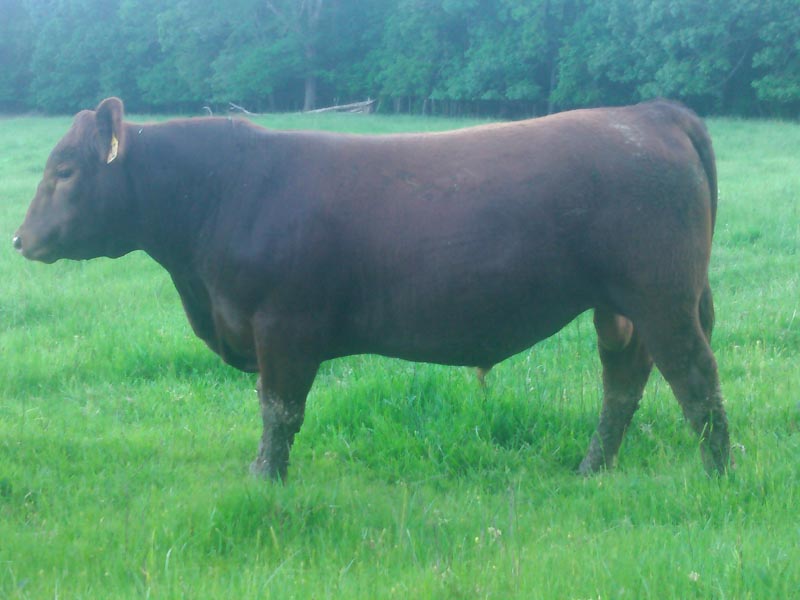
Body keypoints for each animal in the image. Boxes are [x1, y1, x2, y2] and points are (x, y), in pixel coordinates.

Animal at [13, 97, 730, 480]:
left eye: (66, 169)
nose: (20, 240)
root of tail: (646, 113)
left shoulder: (284, 326)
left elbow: (279, 411)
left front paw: (265, 478)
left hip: (662, 297)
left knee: (695, 381)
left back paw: (718, 475)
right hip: (619, 307)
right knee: (623, 384)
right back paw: (591, 469)